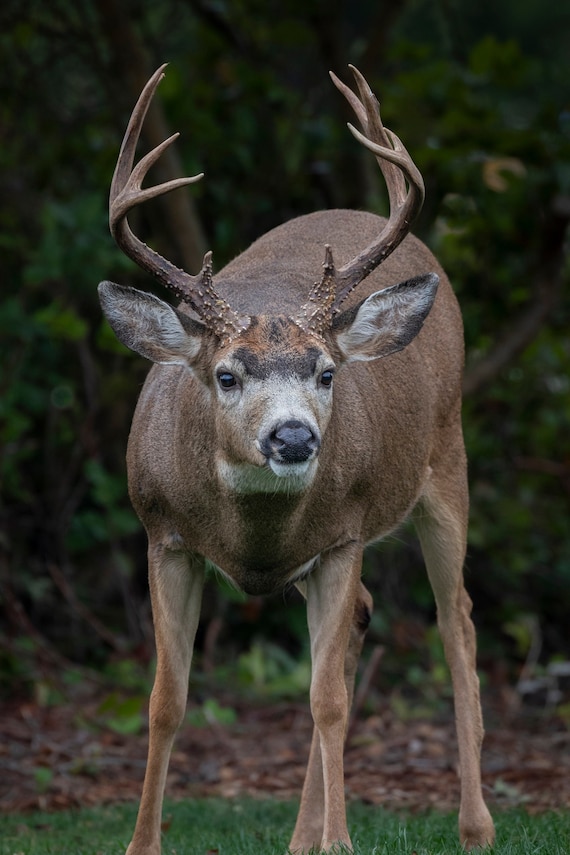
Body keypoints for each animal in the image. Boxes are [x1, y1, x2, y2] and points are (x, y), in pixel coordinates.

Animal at [98, 63, 495, 854]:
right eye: (226, 375)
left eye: (326, 372)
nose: (293, 438)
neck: (251, 535)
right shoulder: (163, 535)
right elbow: (165, 699)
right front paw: (140, 843)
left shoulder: (344, 534)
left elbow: (329, 699)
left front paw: (343, 842)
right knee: (366, 621)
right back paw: (300, 834)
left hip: (446, 460)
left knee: (456, 622)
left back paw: (475, 825)